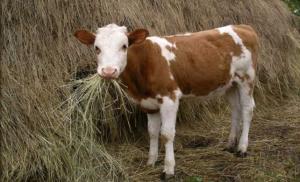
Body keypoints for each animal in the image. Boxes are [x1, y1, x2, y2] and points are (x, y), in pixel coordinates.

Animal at [74, 23, 258, 178]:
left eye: (124, 46)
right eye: (97, 48)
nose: (108, 71)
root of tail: (243, 26)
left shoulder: (170, 98)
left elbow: (167, 134)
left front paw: (168, 169)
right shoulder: (148, 104)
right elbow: (153, 132)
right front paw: (151, 161)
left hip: (246, 78)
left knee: (247, 109)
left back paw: (242, 148)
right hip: (230, 84)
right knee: (235, 109)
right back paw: (230, 144)